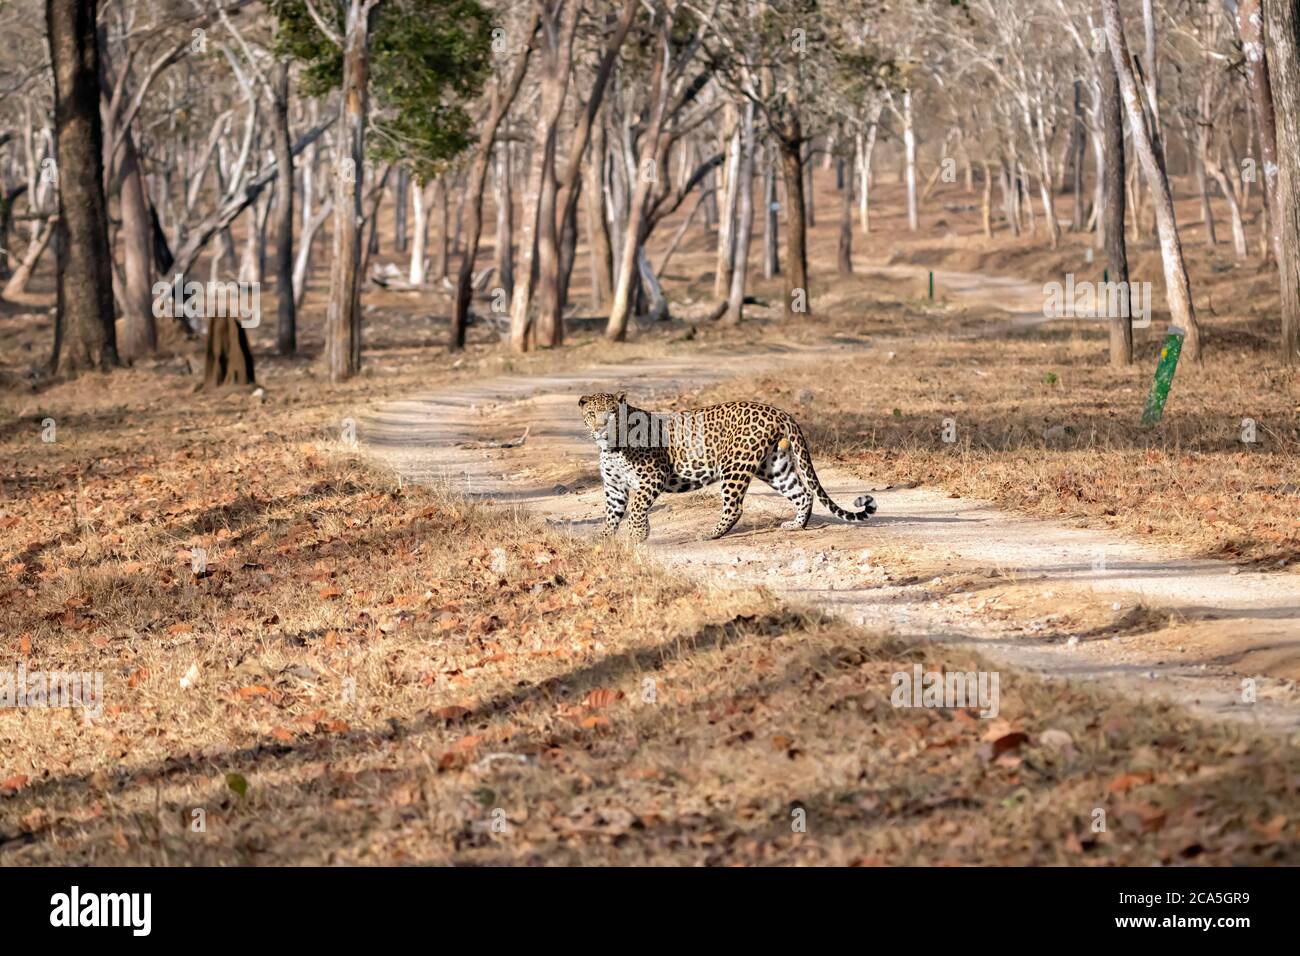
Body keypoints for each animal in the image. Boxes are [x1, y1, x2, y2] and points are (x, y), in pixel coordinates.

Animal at [578, 391, 877, 541]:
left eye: (612, 414)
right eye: (592, 414)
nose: (600, 428)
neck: (611, 447)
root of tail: (779, 411)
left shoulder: (652, 476)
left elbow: (638, 507)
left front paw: (638, 534)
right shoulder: (614, 487)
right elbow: (612, 513)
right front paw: (603, 537)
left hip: (735, 464)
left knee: (735, 507)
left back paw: (710, 534)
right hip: (774, 466)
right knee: (802, 493)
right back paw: (796, 526)